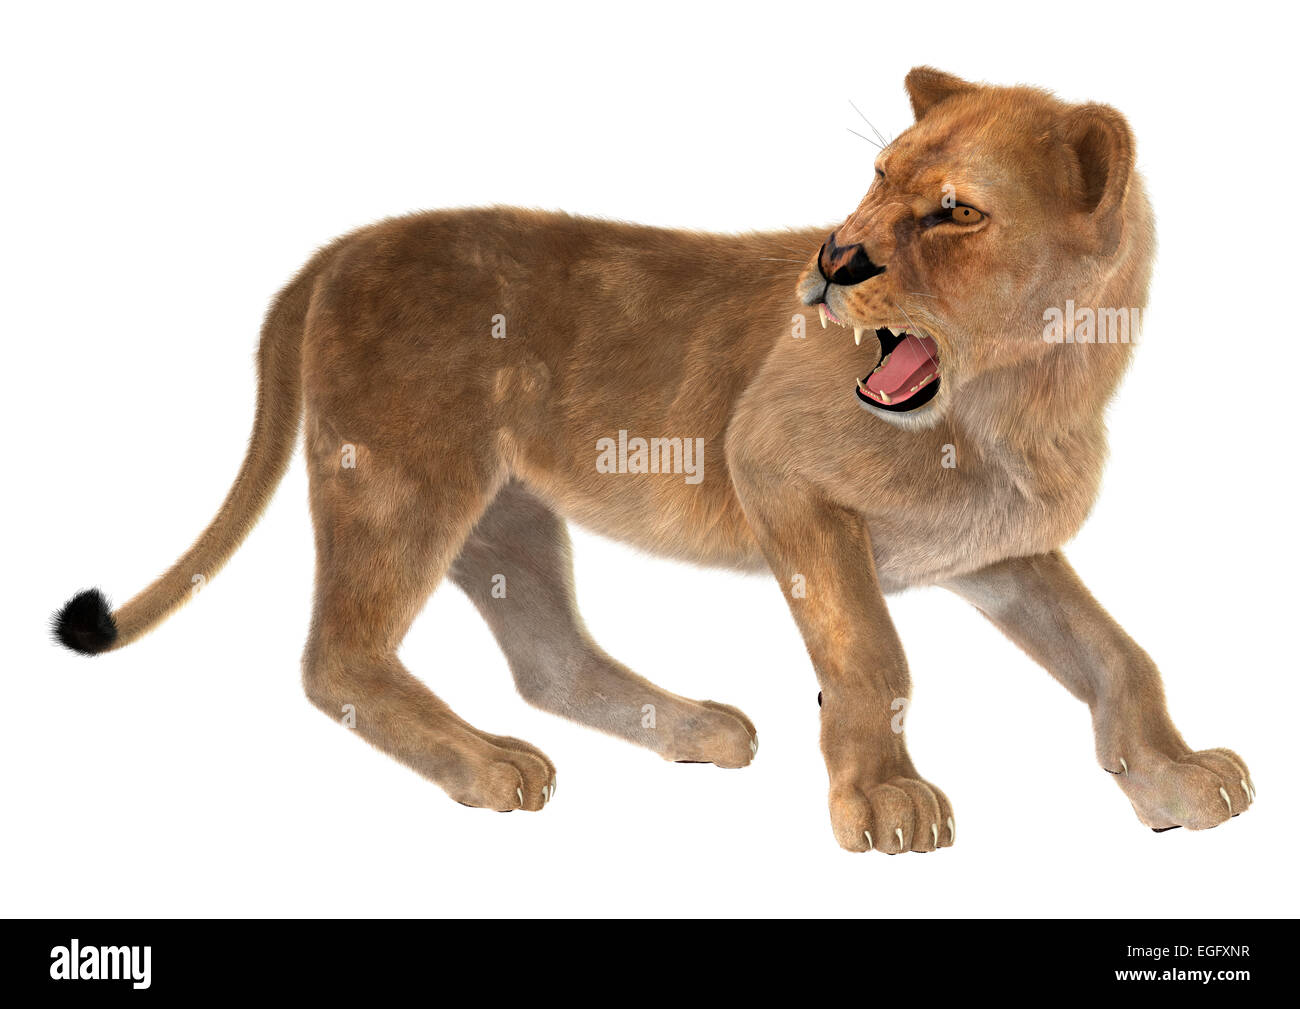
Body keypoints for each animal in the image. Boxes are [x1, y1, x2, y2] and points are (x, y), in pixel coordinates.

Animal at [53, 68, 1253, 853]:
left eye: (953, 212)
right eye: (873, 178)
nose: (832, 259)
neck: (1017, 398)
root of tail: (342, 248)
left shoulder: (993, 554)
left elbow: (1119, 654)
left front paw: (1176, 780)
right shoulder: (776, 469)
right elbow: (871, 656)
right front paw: (885, 800)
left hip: (504, 516)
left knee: (547, 659)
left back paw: (691, 728)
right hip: (401, 484)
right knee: (337, 660)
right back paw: (487, 765)